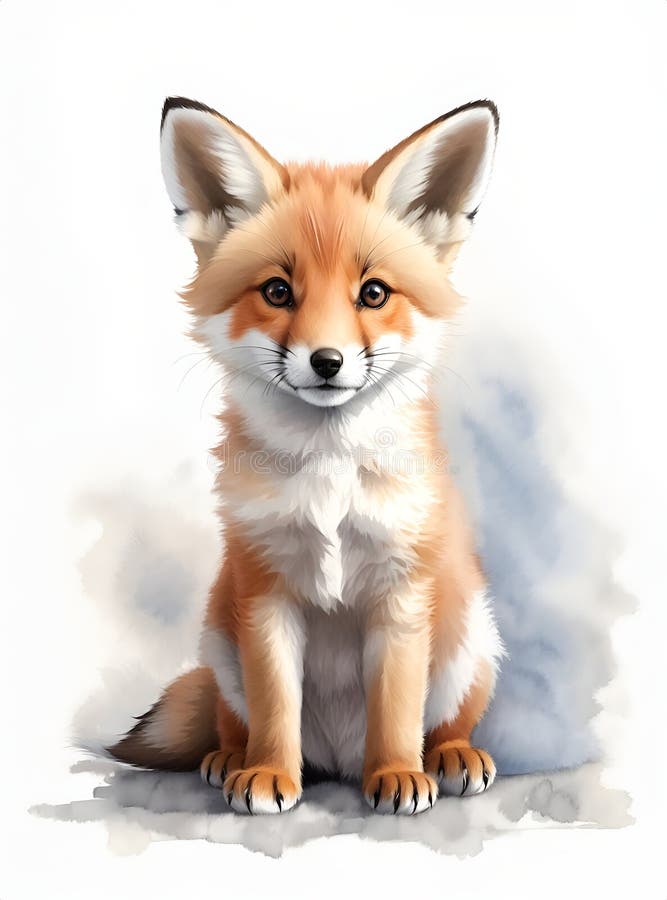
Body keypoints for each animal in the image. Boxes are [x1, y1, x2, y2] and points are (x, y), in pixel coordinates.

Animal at [108, 96, 504, 816]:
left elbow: (397, 708)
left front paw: (396, 772)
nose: (326, 362)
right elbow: (274, 708)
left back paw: (448, 757)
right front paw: (268, 772)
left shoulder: (401, 591)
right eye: (276, 291)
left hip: (472, 640)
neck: (330, 480)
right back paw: (231, 758)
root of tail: (339, 760)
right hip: (220, 636)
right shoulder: (265, 590)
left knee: (445, 721)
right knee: (231, 718)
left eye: (373, 293)